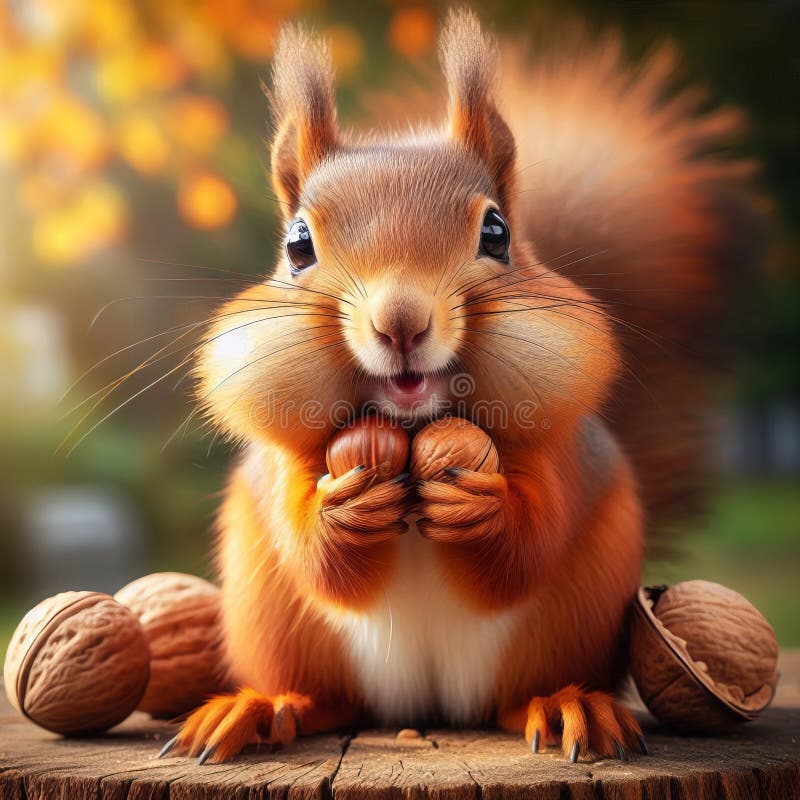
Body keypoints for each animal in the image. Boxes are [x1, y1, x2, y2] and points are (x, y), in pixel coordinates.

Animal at [162, 10, 755, 764]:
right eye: (298, 245)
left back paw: (565, 707)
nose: (401, 322)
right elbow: (313, 555)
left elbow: (527, 548)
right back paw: (265, 706)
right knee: (325, 696)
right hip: (271, 619)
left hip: (573, 618)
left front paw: (481, 505)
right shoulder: (282, 469)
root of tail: (427, 706)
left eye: (496, 232)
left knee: (513, 699)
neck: (413, 425)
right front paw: (343, 508)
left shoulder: (558, 452)